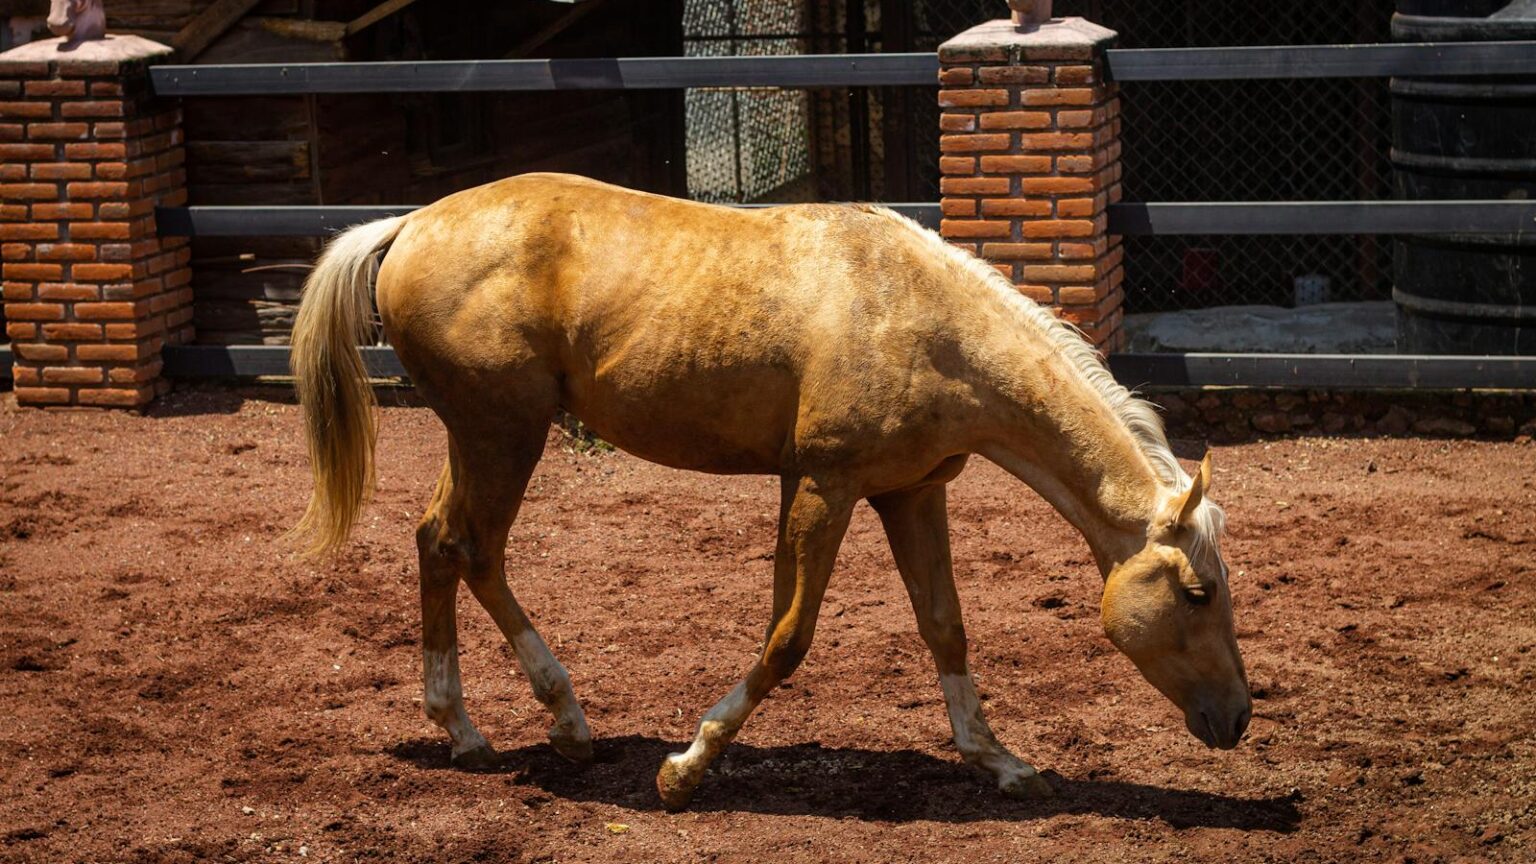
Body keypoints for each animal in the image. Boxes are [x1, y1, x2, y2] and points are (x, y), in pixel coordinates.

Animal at [289, 172, 1250, 810]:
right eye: (1198, 593)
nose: (1239, 719)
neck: (922, 319)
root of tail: (412, 223)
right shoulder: (823, 484)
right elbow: (789, 637)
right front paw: (687, 767)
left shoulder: (910, 494)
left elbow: (945, 625)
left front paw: (998, 759)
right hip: (503, 434)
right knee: (471, 547)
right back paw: (557, 719)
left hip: (483, 435)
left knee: (439, 543)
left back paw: (472, 731)